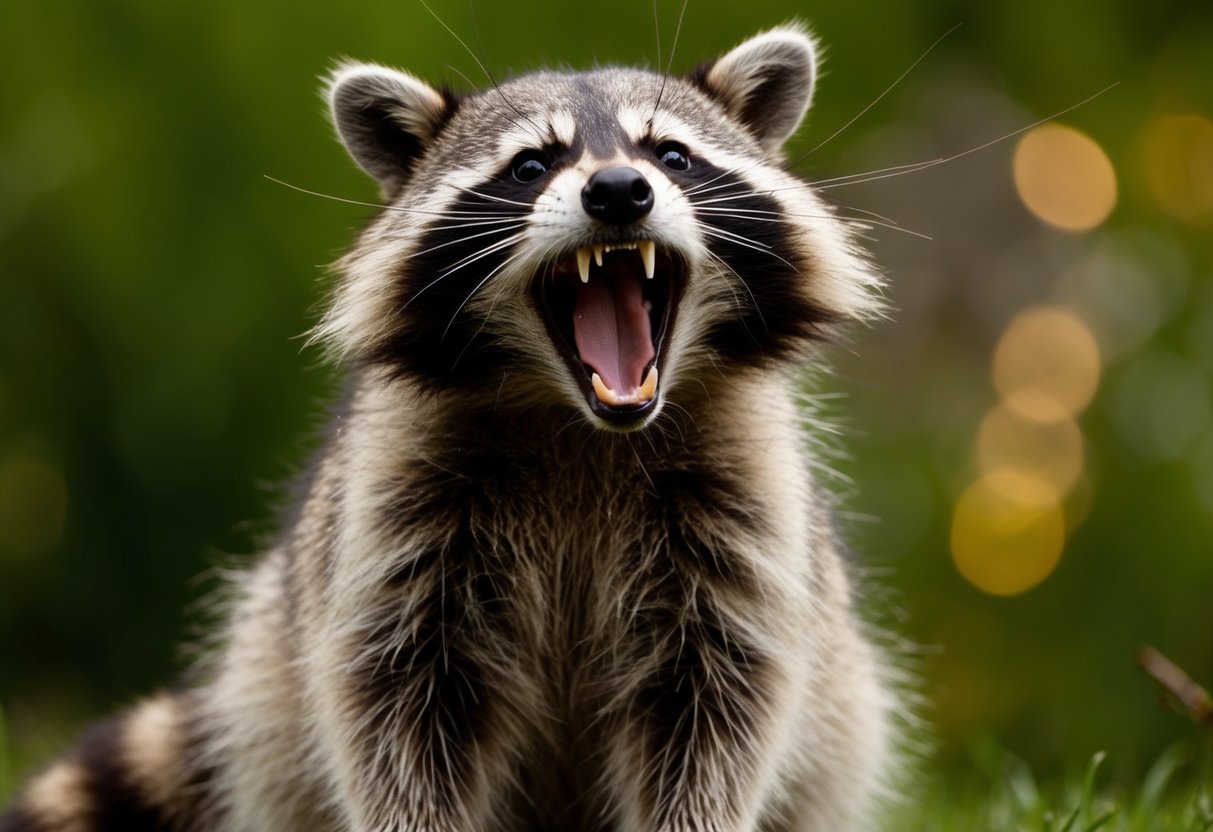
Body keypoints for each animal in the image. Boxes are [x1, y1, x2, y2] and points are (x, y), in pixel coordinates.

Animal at [1, 24, 895, 832]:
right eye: (531, 166)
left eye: (671, 155)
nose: (617, 190)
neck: (580, 425)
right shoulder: (389, 518)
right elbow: (395, 717)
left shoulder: (747, 520)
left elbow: (717, 718)